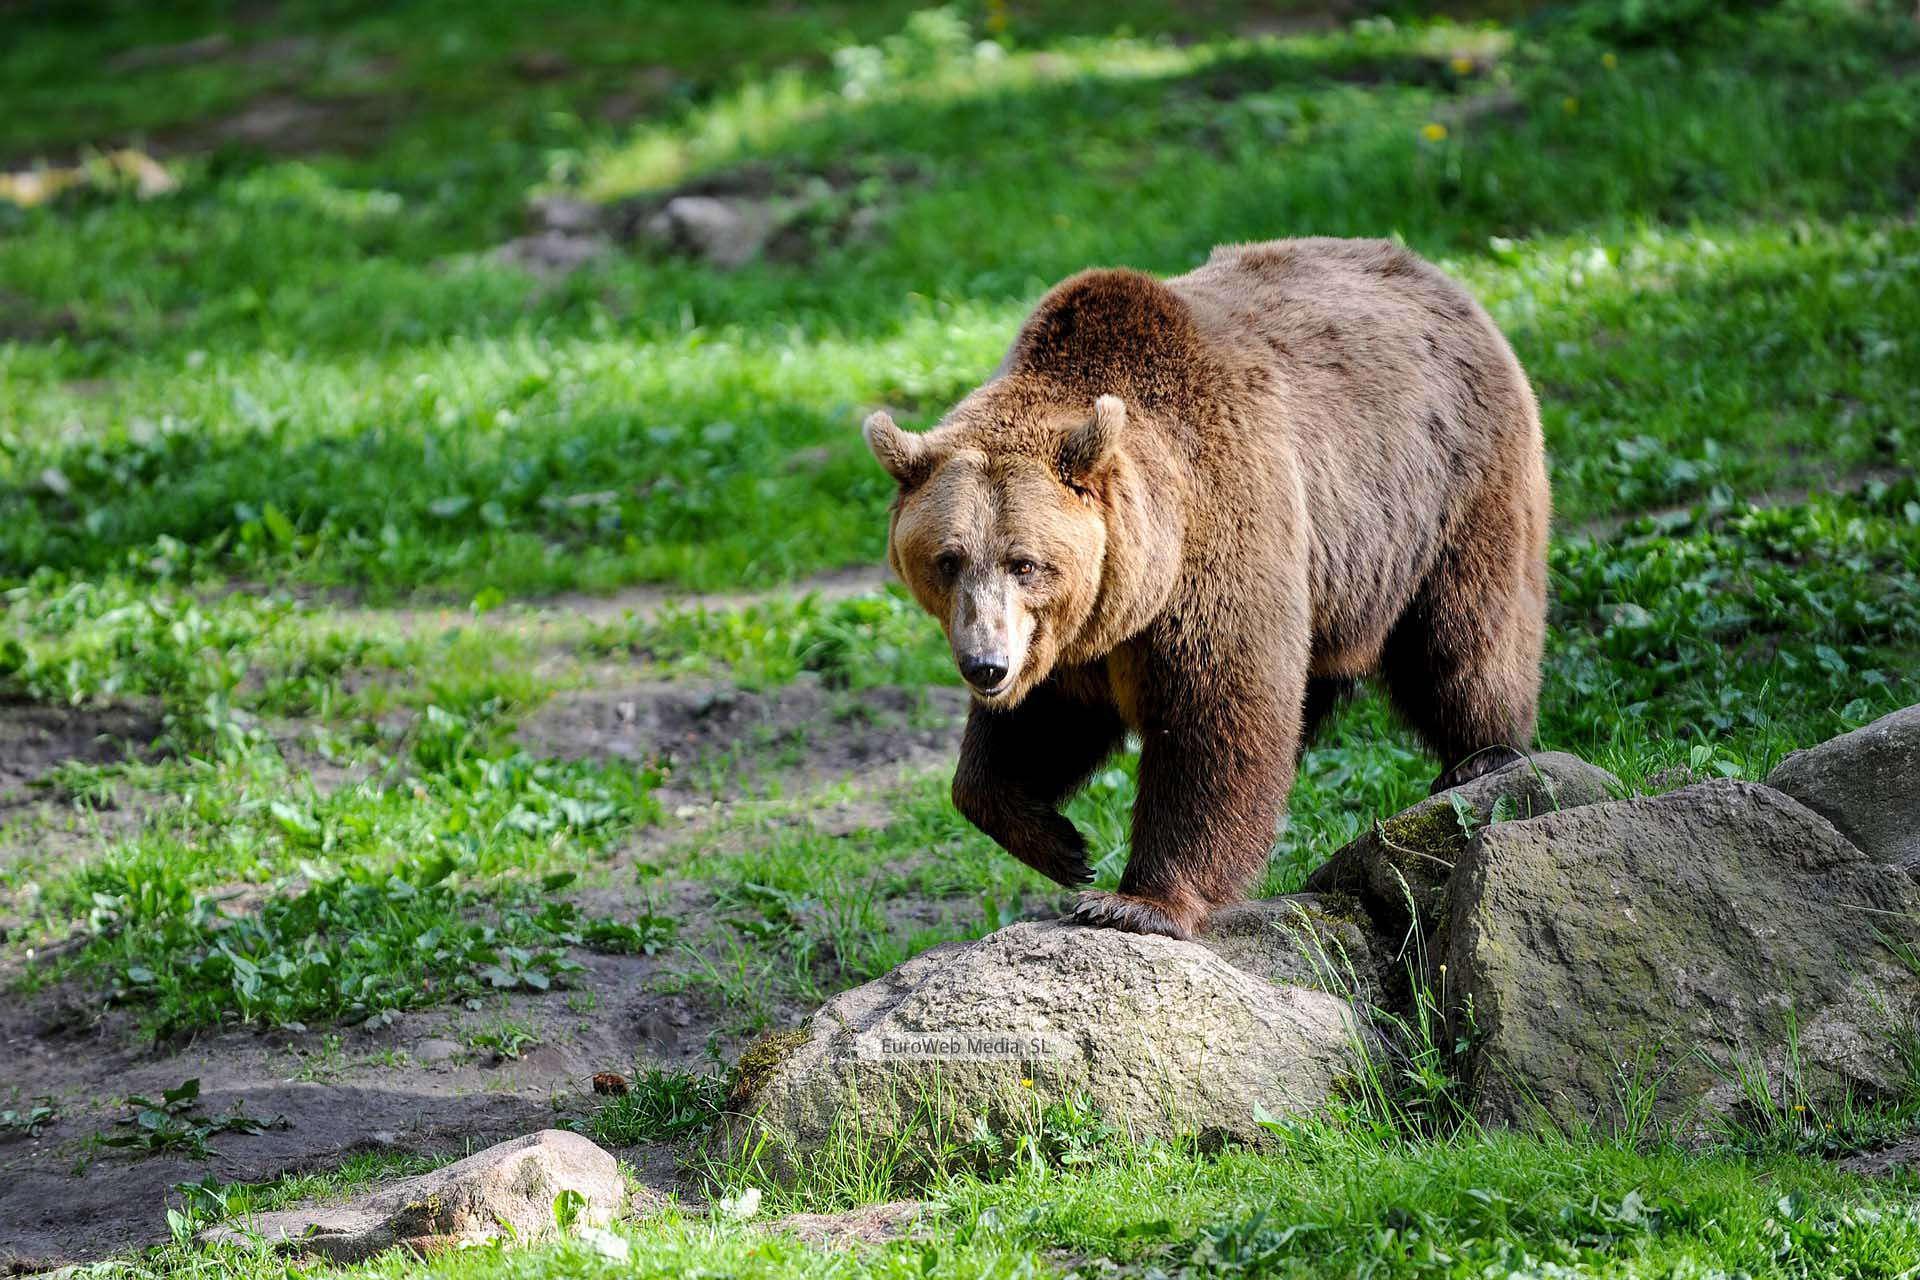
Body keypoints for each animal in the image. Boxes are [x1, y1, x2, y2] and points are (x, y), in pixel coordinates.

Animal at [862, 237, 1549, 941]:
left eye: (1024, 562)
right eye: (948, 560)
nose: (985, 665)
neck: (1139, 579)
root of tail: (1439, 277)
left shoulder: (1219, 535)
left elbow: (1217, 715)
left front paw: (1135, 901)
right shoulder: (1069, 634)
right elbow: (1034, 729)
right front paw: (1061, 845)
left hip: (1450, 489)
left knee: (1463, 638)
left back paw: (1483, 756)